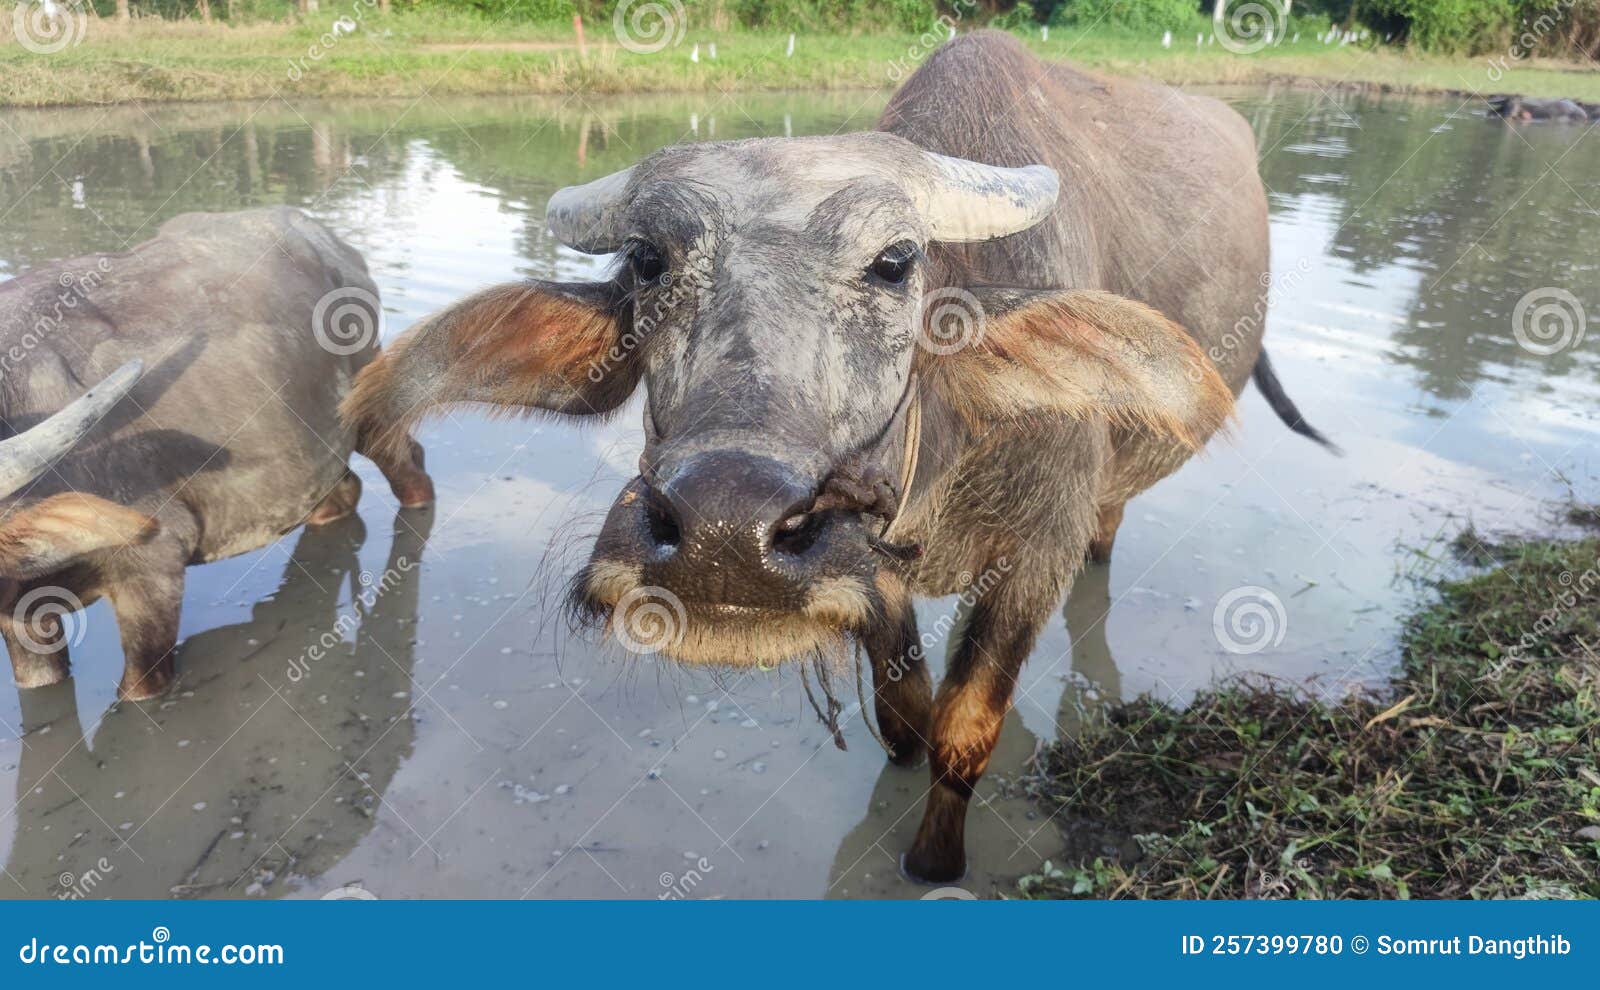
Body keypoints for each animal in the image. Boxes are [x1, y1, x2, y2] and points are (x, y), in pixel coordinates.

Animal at [0, 207, 433, 702]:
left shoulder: (154, 567)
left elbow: (139, 687)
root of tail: (333, 246)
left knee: (411, 467)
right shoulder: (20, 609)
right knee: (343, 492)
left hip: (373, 409)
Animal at [343, 31, 1333, 882]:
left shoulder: (1034, 555)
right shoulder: (872, 574)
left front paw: (932, 863)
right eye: (648, 260)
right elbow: (905, 714)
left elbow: (965, 730)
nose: (724, 533)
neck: (938, 475)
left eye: (895, 263)